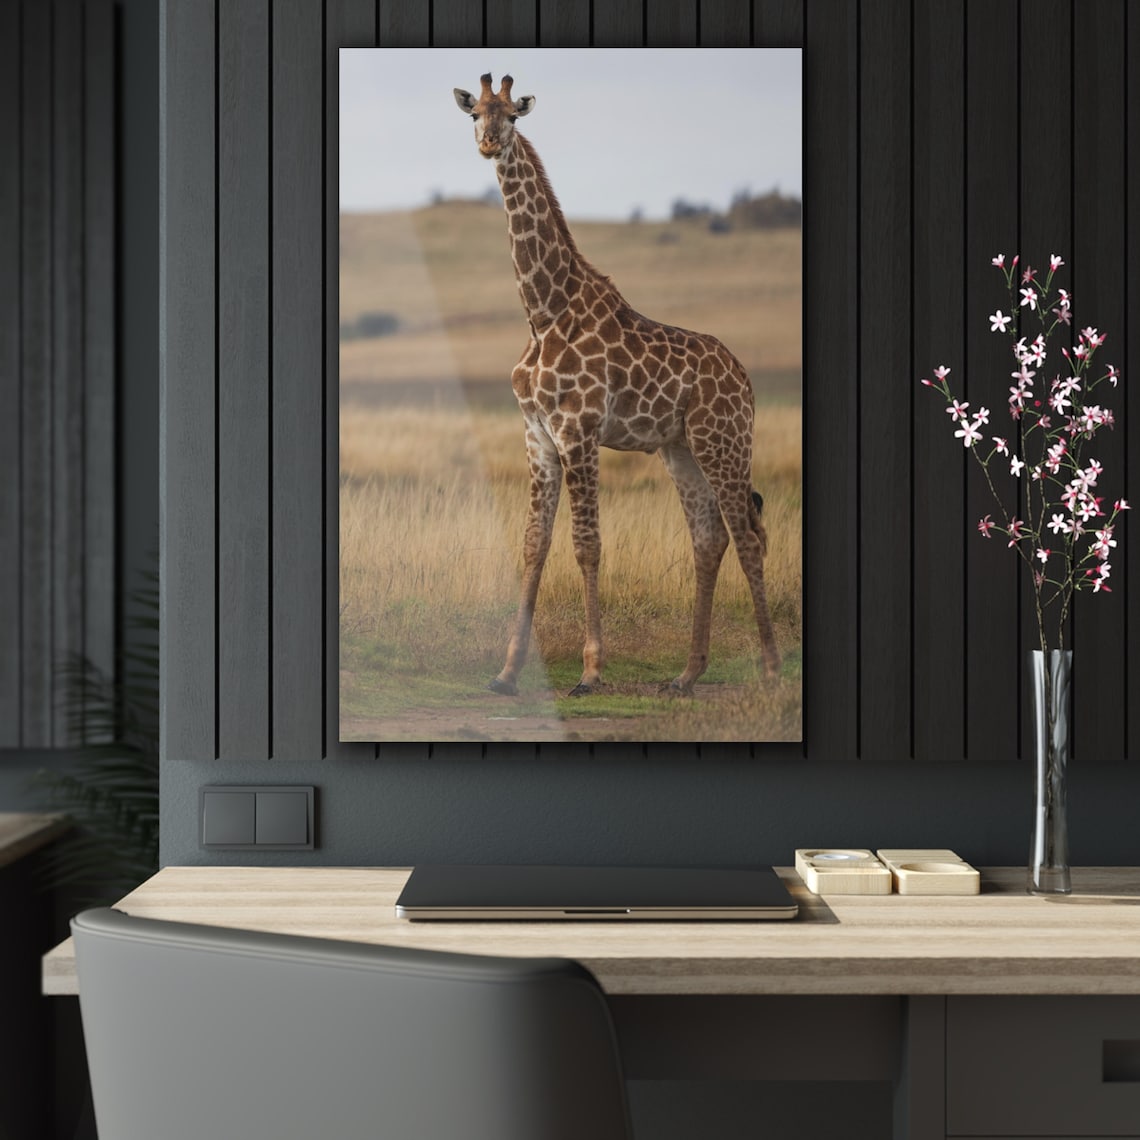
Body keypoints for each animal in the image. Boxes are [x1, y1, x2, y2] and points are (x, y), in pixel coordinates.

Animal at [453, 73, 781, 697]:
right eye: (474, 113)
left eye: (512, 115)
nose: (487, 143)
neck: (544, 311)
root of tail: (747, 381)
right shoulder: (537, 435)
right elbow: (534, 544)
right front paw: (508, 672)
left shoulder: (579, 430)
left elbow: (587, 546)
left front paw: (590, 671)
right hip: (681, 450)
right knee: (709, 538)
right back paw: (686, 674)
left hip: (723, 442)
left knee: (748, 534)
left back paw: (773, 670)